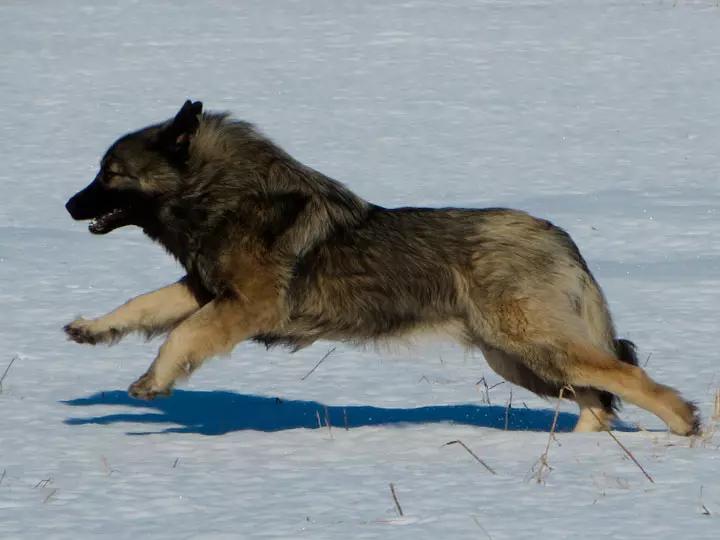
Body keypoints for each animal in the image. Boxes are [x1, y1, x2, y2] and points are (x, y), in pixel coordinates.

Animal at [64, 101, 700, 436]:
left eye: (110, 173)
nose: (69, 205)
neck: (223, 194)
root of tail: (556, 235)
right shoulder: (205, 288)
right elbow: (144, 306)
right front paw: (93, 329)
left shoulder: (244, 306)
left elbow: (182, 335)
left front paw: (153, 381)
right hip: (520, 357)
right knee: (597, 394)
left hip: (533, 344)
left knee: (627, 378)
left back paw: (684, 427)